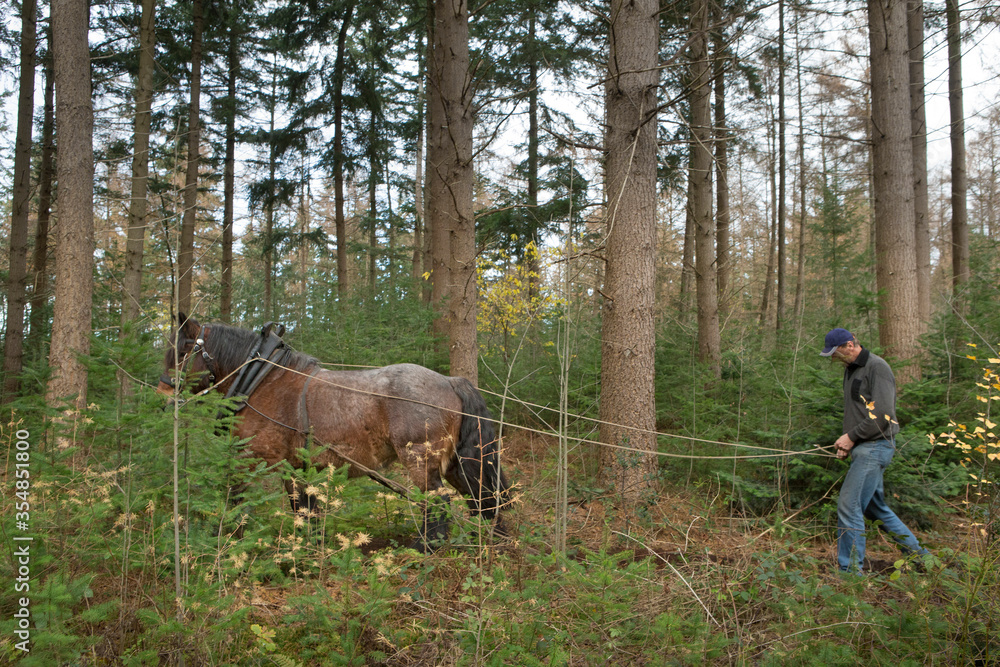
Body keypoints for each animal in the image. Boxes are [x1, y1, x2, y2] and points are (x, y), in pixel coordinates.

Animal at [157, 314, 510, 550]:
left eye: (180, 353)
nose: (162, 399)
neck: (262, 379)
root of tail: (451, 381)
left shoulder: (257, 458)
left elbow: (238, 496)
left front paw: (229, 536)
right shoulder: (298, 466)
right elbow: (306, 508)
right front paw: (312, 545)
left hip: (421, 460)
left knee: (439, 502)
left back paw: (425, 548)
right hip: (455, 464)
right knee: (481, 497)